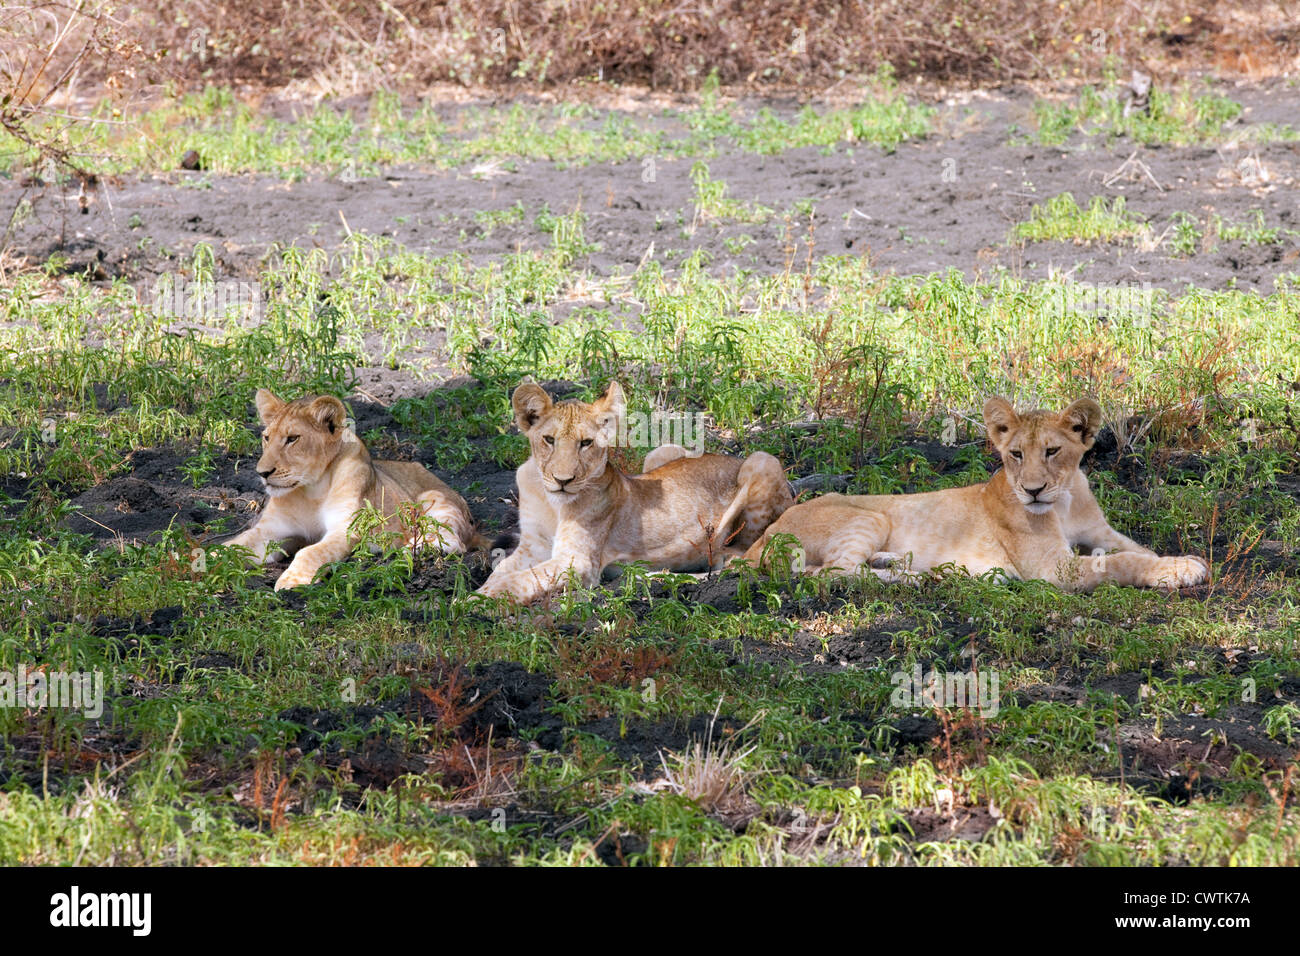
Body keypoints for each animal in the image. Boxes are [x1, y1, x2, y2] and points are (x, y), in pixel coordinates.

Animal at [225, 389, 482, 590]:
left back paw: (409, 548)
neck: (311, 490)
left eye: (292, 438)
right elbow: (234, 545)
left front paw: (292, 582)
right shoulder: (271, 529)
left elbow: (310, 552)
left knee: (454, 542)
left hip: (435, 499)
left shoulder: (347, 528)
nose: (262, 473)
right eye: (266, 438)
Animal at [477, 381, 794, 604]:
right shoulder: (533, 545)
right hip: (662, 452)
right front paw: (480, 591)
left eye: (586, 443)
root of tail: (731, 457)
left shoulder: (578, 561)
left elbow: (519, 580)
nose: (563, 480)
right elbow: (503, 571)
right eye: (549, 440)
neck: (551, 501)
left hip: (761, 461)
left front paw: (478, 602)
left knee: (736, 556)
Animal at [742, 396, 1210, 593]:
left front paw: (1173, 561)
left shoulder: (1101, 532)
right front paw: (1182, 569)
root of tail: (761, 539)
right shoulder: (1053, 569)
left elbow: (1138, 549)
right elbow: (1123, 562)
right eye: (1016, 454)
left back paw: (906, 565)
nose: (1033, 490)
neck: (1065, 501)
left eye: (1052, 451)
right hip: (871, 516)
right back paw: (923, 577)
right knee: (830, 574)